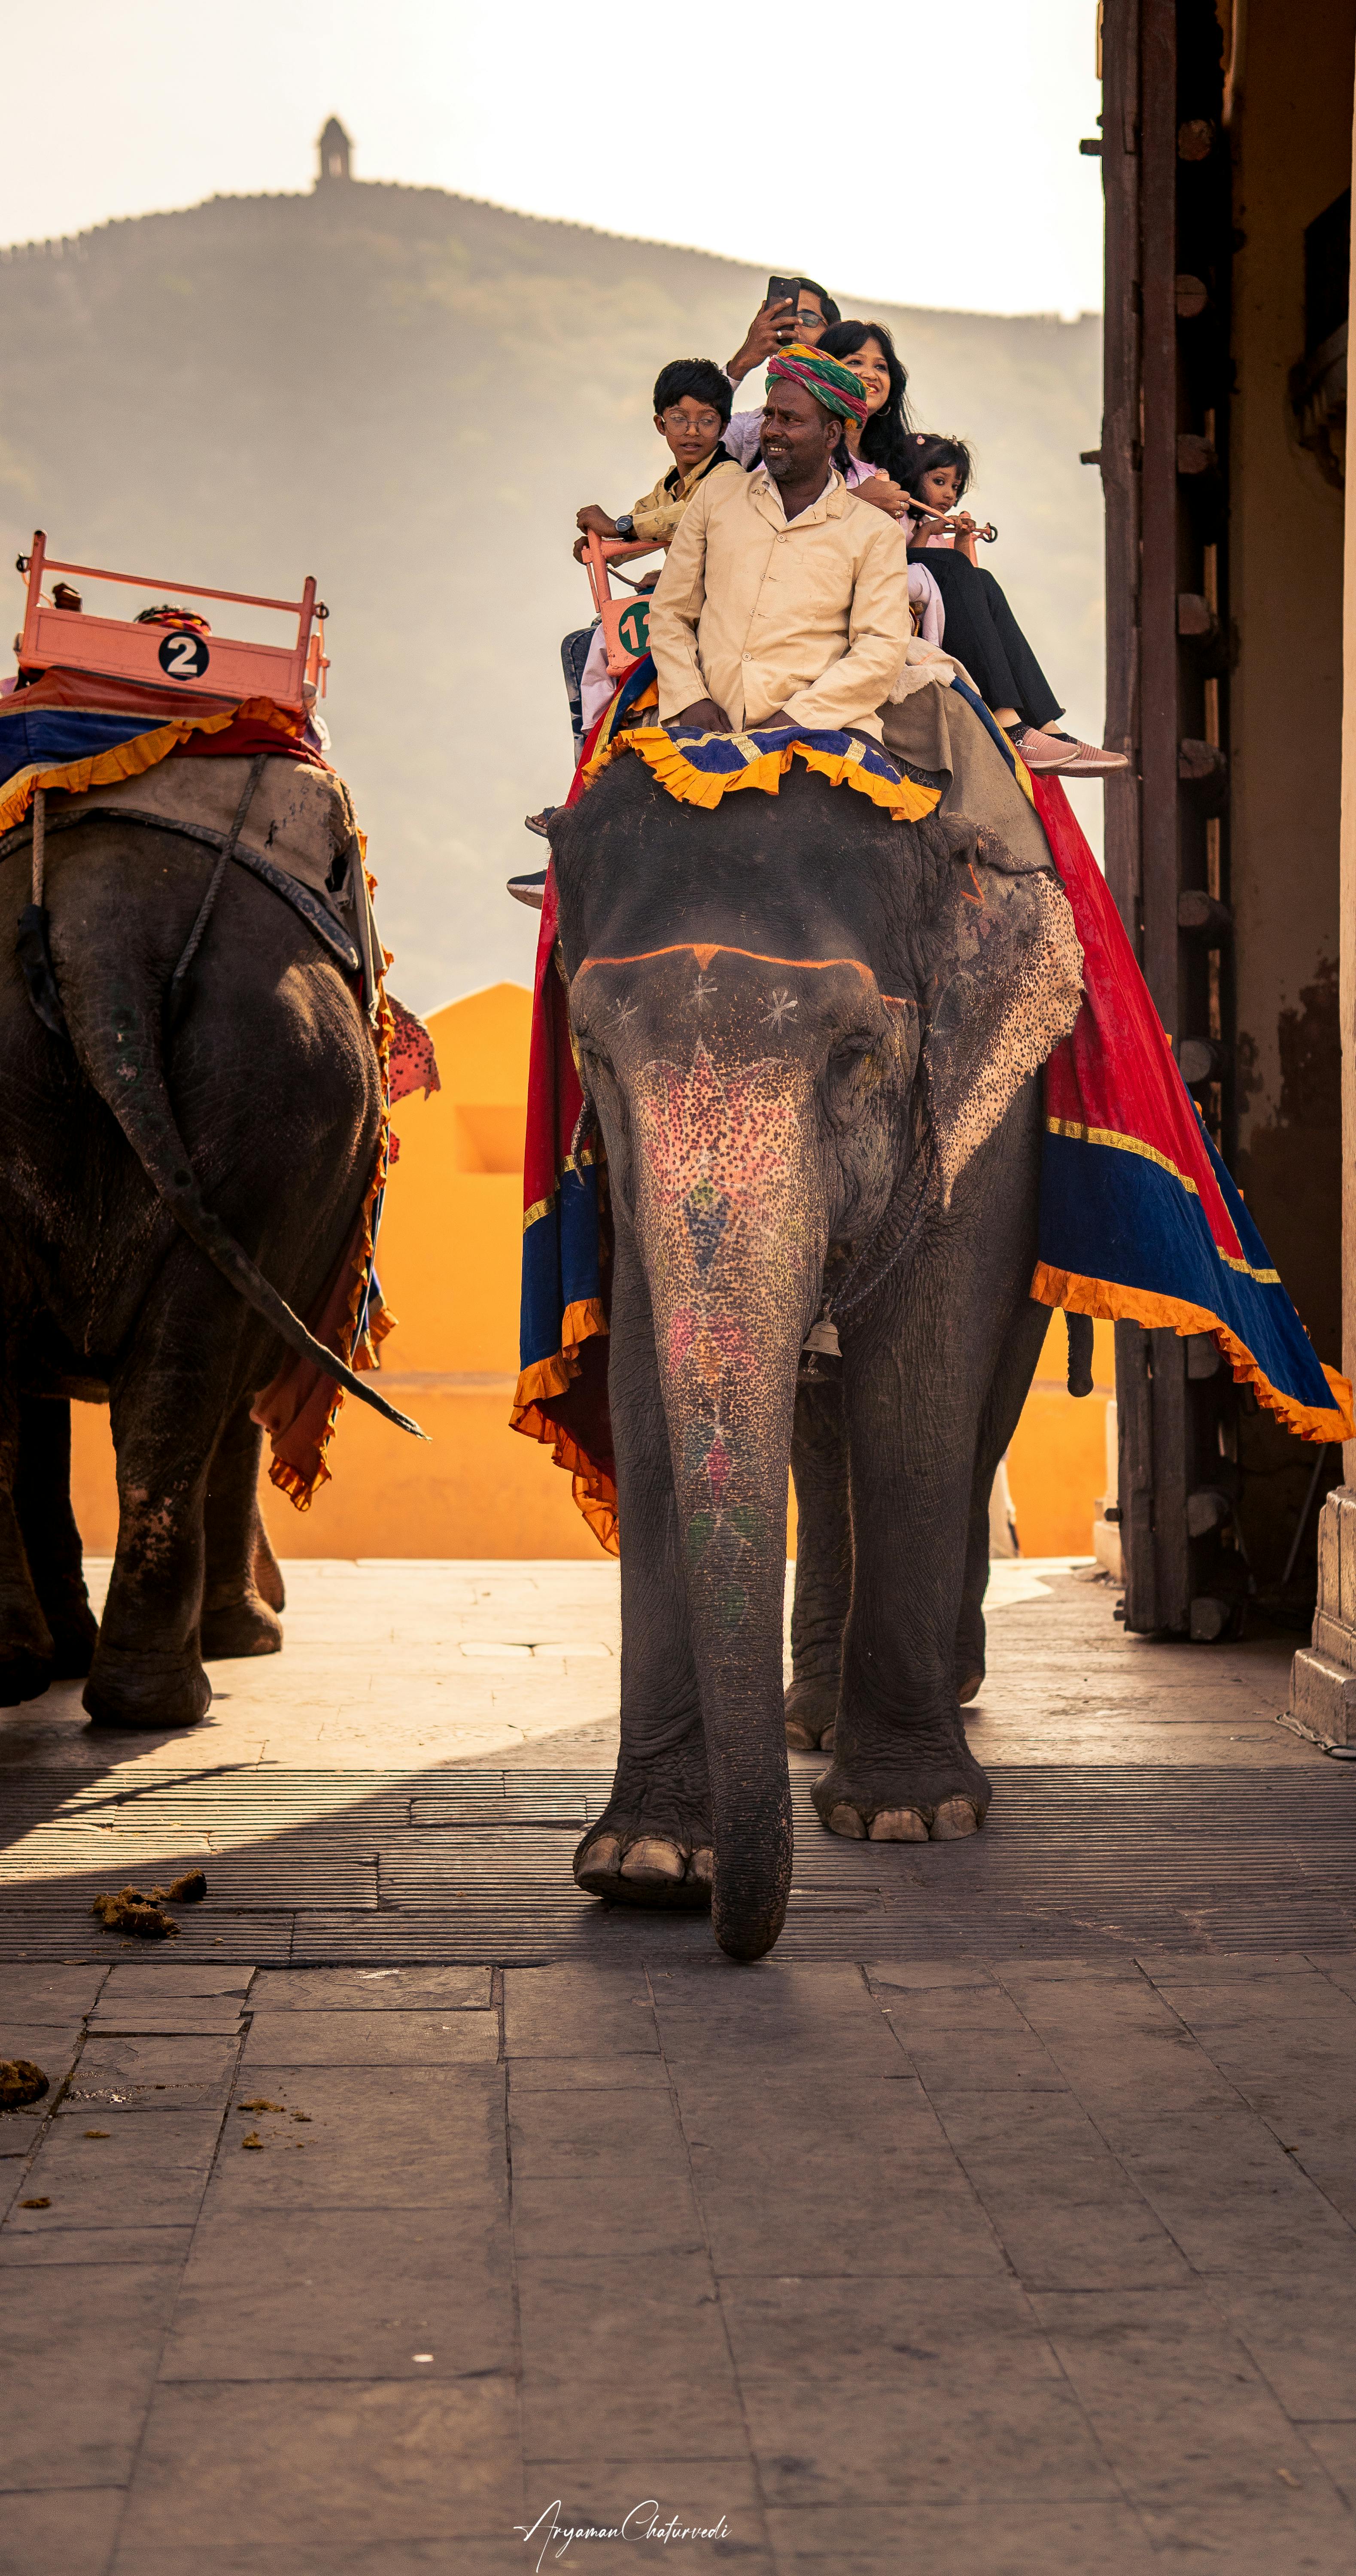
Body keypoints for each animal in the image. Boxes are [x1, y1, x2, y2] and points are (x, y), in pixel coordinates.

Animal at [0, 800, 413, 1728]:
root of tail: (99, 935)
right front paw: (252, 1639)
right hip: (272, 1091)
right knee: (192, 1380)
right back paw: (164, 1692)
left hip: (258, 1093)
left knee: (179, 1369)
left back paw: (108, 1691)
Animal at [549, 739, 1083, 1961]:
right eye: (591, 1050)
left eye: (853, 1052)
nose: (735, 1939)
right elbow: (649, 1395)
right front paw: (646, 1863)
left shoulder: (985, 1118)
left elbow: (921, 1389)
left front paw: (908, 1819)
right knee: (816, 1432)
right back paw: (809, 1718)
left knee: (973, 1418)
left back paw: (941, 1687)